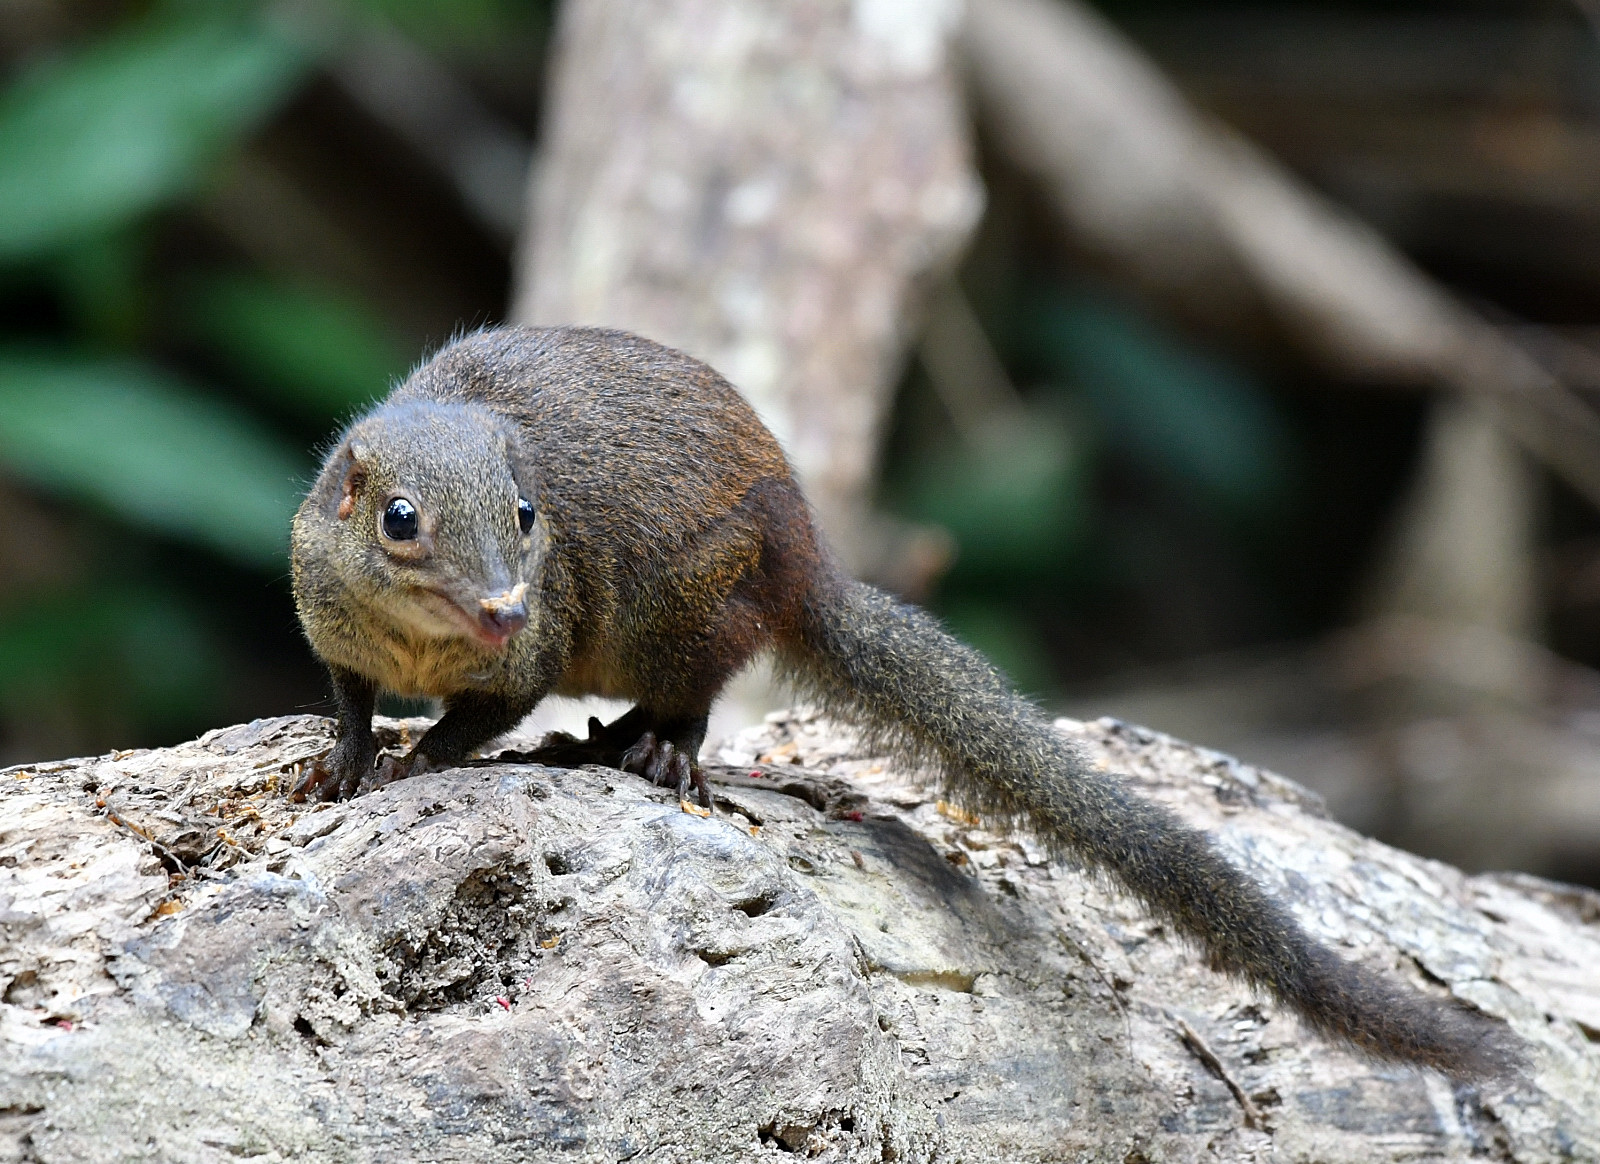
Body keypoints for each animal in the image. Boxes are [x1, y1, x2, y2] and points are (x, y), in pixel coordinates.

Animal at [290, 324, 1516, 1081]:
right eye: (400, 521)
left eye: (529, 514)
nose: (502, 606)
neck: (426, 647)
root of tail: (805, 560)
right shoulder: (327, 615)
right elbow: (347, 696)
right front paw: (347, 759)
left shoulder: (532, 660)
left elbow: (484, 717)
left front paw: (420, 763)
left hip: (692, 611)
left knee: (696, 697)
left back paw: (654, 750)